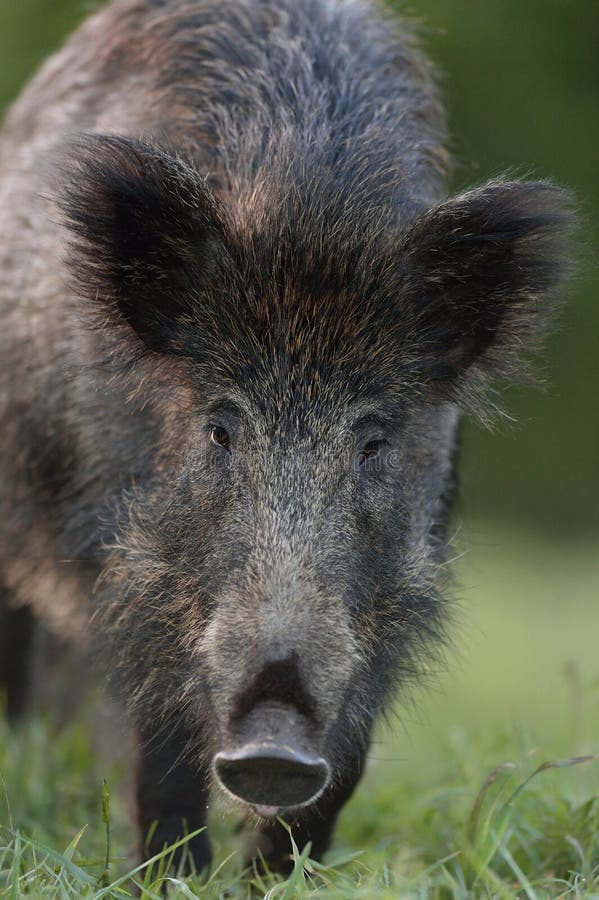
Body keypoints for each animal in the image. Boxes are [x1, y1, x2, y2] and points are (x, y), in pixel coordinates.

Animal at [0, 0, 572, 876]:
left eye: (373, 440)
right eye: (219, 427)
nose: (273, 746)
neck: (310, 218)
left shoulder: (397, 589)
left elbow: (348, 758)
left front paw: (274, 878)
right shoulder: (126, 565)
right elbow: (160, 741)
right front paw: (168, 877)